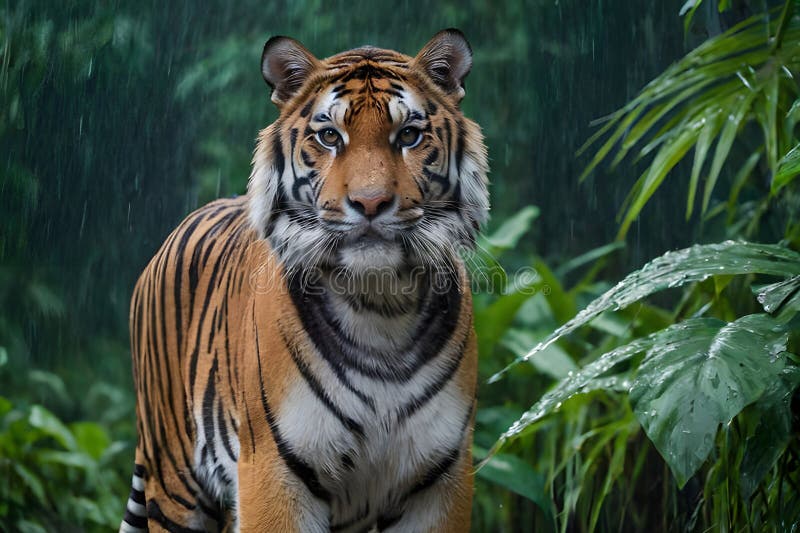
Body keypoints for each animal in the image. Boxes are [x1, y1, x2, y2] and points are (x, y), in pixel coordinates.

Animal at [120, 28, 489, 533]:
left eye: (409, 135)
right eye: (330, 135)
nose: (370, 203)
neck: (382, 305)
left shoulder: (440, 477)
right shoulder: (275, 471)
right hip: (175, 481)